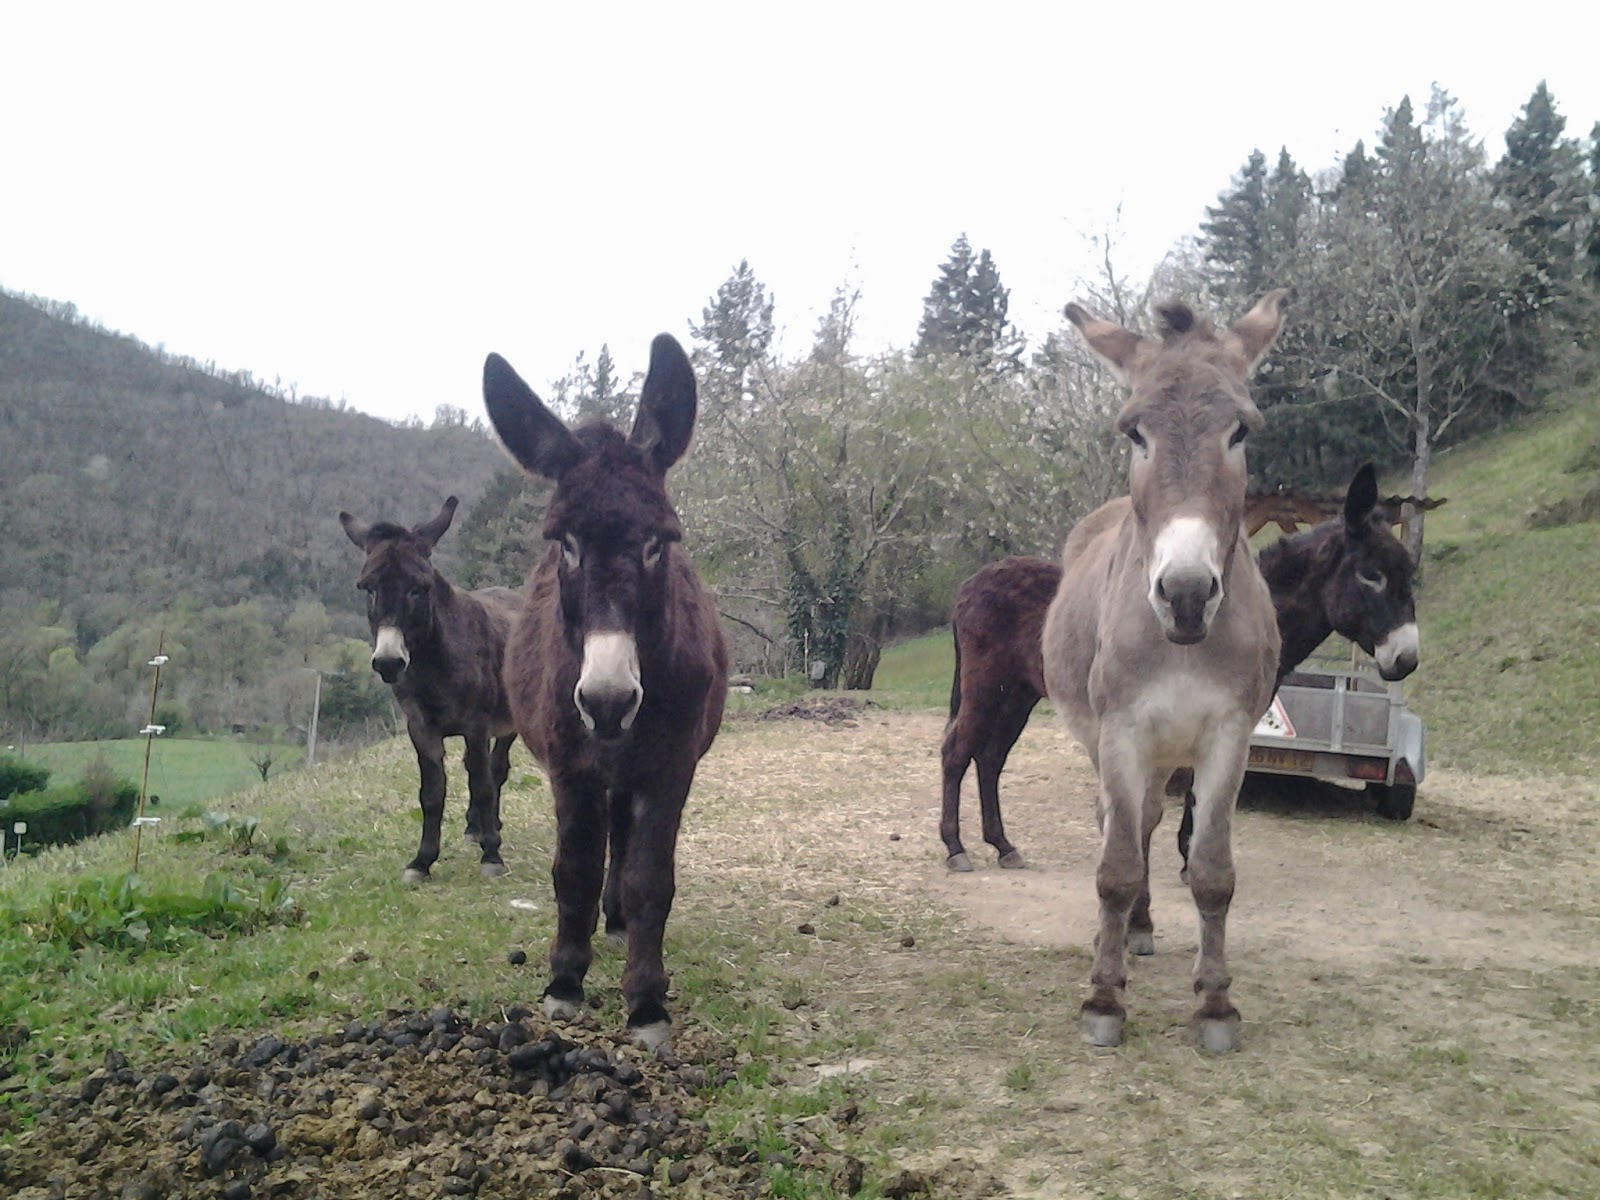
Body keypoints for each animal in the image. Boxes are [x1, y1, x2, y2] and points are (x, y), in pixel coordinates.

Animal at [339, 497, 521, 882]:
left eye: (418, 588)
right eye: (368, 588)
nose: (389, 662)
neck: (434, 666)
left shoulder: (476, 725)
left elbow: (483, 784)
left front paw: (492, 855)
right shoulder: (421, 728)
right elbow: (432, 793)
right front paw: (422, 861)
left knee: (495, 769)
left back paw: (489, 829)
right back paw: (475, 827)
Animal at [482, 333, 728, 1053]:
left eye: (657, 544)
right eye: (563, 544)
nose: (609, 702)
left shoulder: (671, 766)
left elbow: (651, 880)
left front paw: (645, 1002)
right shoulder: (571, 767)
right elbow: (573, 870)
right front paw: (565, 981)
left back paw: (618, 923)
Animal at [939, 462, 1419, 871]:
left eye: (1409, 576)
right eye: (1371, 575)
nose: (1407, 659)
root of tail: (970, 583)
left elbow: (1196, 790)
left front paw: (1187, 855)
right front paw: (1185, 857)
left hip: (1016, 695)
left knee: (990, 757)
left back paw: (1003, 846)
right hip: (987, 686)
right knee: (957, 751)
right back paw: (956, 848)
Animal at [1040, 291, 1287, 1052]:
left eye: (1241, 431)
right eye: (1135, 435)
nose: (1184, 593)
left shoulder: (1229, 736)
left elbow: (1211, 873)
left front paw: (1216, 1006)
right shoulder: (1120, 731)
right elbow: (1116, 865)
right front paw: (1103, 999)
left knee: (1148, 819)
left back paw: (1141, 932)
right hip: (1110, 744)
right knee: (1123, 824)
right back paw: (1116, 942)